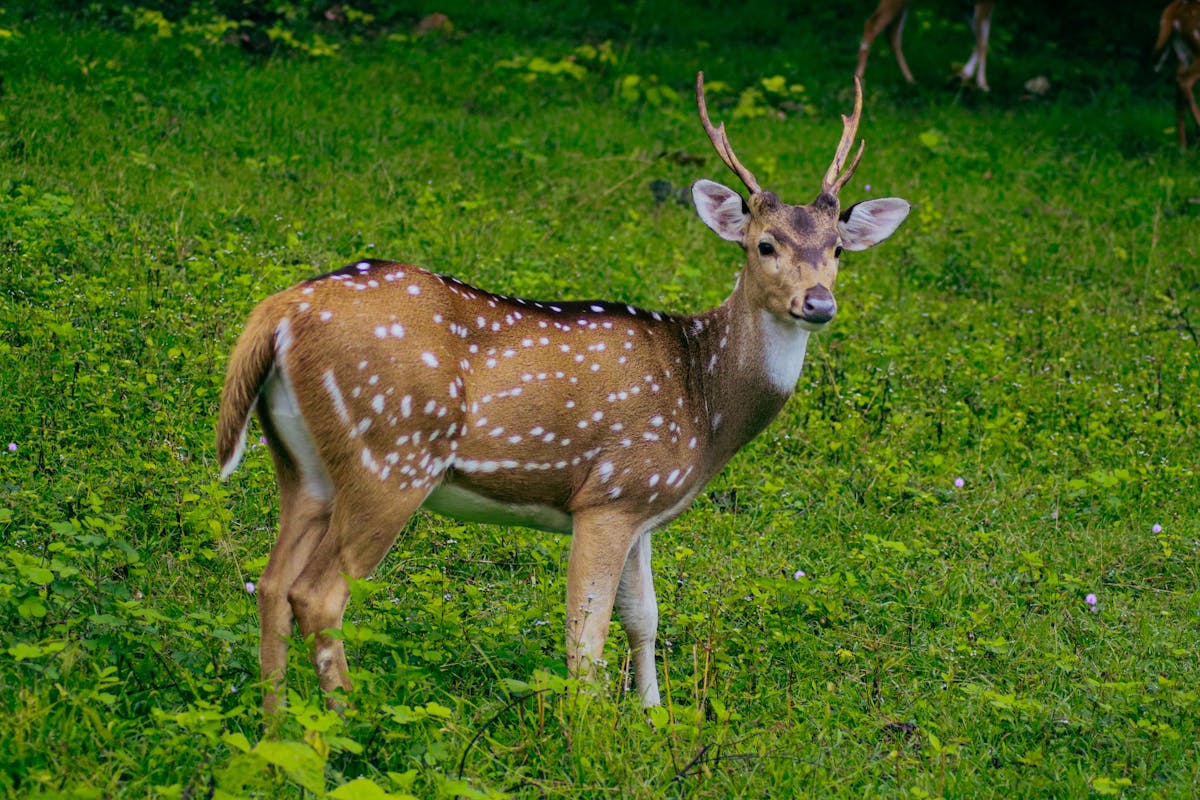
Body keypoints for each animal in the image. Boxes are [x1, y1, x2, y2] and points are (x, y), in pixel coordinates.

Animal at [216, 72, 910, 713]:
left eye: (838, 250)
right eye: (764, 244)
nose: (817, 302)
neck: (705, 401)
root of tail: (281, 310)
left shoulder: (643, 504)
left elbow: (644, 616)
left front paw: (654, 715)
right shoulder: (608, 494)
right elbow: (586, 636)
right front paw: (590, 733)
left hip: (301, 461)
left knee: (272, 584)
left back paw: (277, 728)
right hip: (391, 456)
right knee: (319, 593)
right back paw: (344, 728)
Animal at [856, 0, 995, 91]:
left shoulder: (967, 5)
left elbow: (980, 38)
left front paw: (962, 76)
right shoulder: (983, 2)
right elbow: (983, 41)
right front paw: (982, 84)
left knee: (892, 33)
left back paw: (910, 80)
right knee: (872, 24)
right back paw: (860, 77)